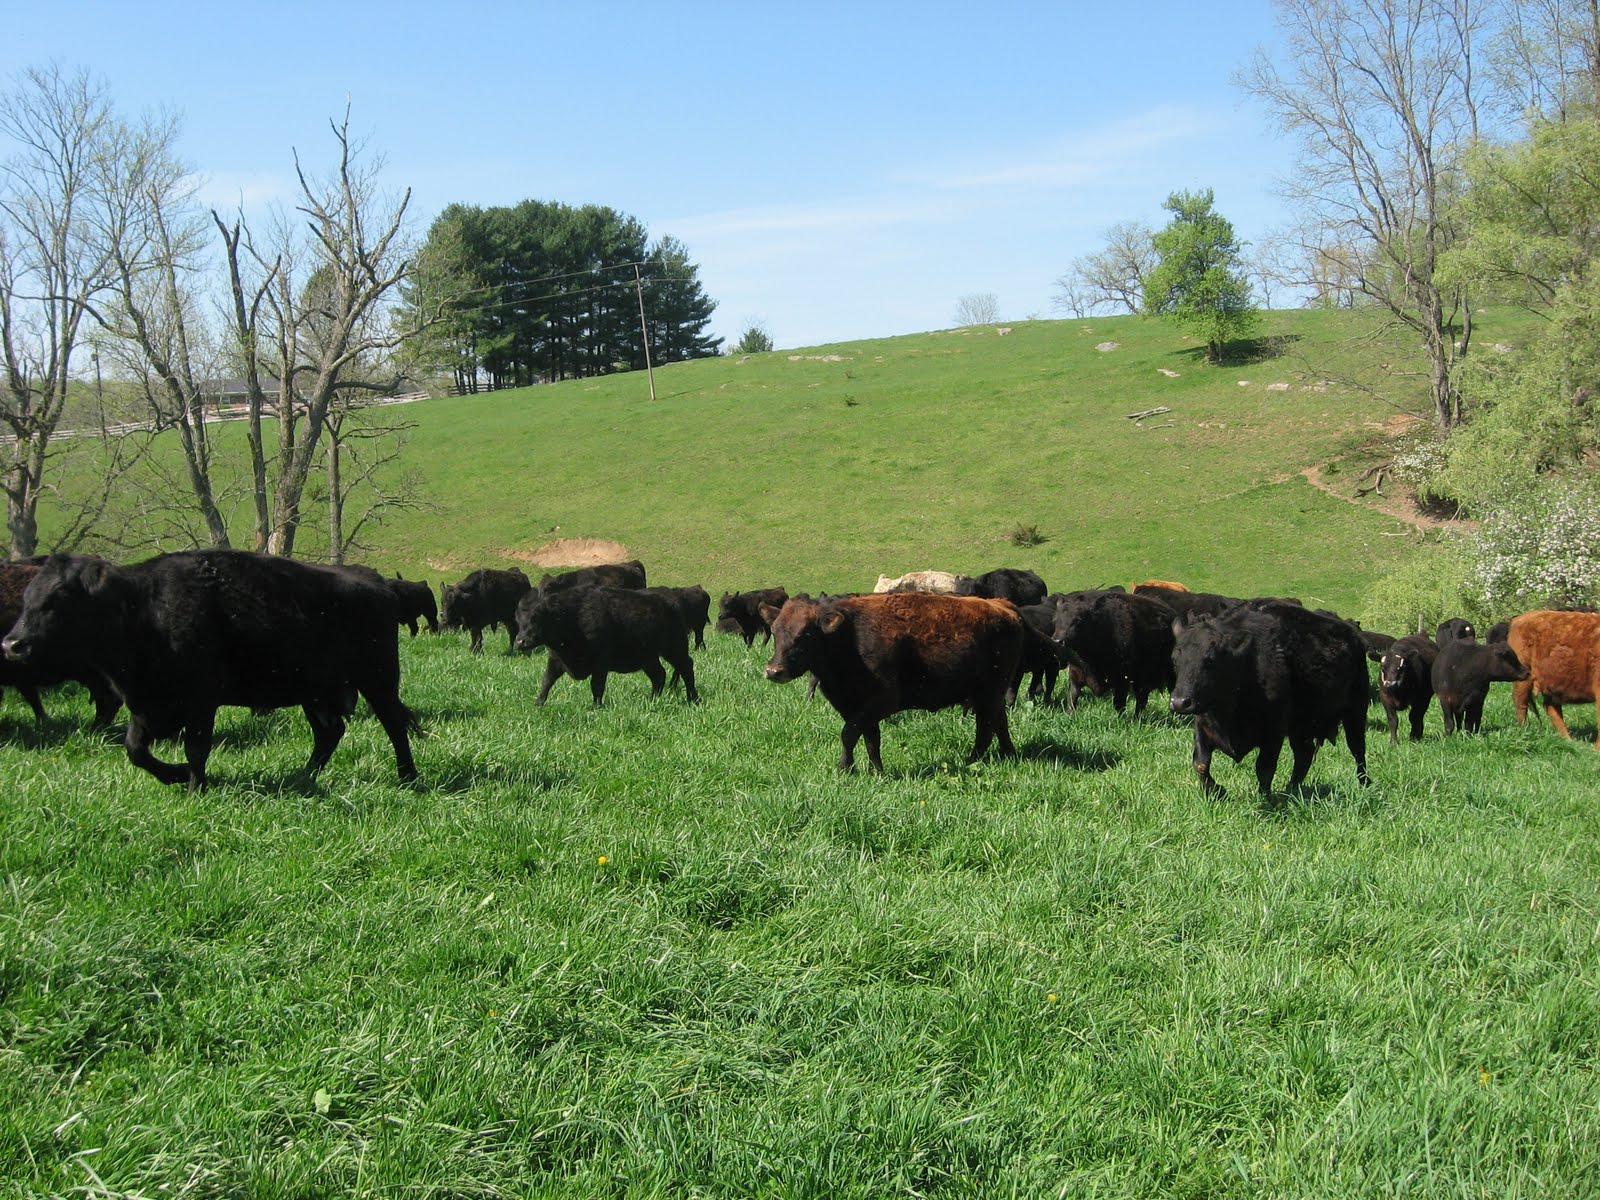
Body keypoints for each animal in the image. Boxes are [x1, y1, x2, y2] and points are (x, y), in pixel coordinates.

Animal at [513, 586, 698, 706]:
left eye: (537, 618)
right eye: (518, 620)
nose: (519, 642)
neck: (572, 616)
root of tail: (673, 600)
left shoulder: (600, 664)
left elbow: (597, 686)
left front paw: (596, 707)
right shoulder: (555, 660)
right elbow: (547, 681)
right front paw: (538, 703)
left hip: (674, 649)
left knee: (686, 667)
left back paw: (693, 699)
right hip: (648, 658)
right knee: (659, 675)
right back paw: (652, 700)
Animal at [761, 592, 1023, 772]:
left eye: (806, 633)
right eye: (775, 630)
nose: (774, 670)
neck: (849, 637)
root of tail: (1003, 606)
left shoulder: (884, 700)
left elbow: (849, 733)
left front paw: (845, 769)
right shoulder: (854, 705)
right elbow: (869, 738)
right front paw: (876, 771)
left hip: (988, 695)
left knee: (985, 729)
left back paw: (971, 761)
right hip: (990, 696)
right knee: (1000, 722)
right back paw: (1009, 754)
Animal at [1169, 602, 1370, 798]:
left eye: (1210, 660)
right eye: (1174, 659)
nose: (1180, 702)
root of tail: (1352, 635)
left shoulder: (1274, 733)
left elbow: (1265, 769)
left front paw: (1265, 799)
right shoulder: (1203, 725)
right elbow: (1201, 763)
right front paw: (1217, 792)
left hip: (1356, 714)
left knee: (1358, 751)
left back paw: (1364, 785)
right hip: (1301, 729)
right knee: (1304, 755)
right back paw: (1291, 790)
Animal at [1507, 610, 1600, 747]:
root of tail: (1520, 618)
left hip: (1552, 683)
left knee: (1550, 707)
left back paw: (1567, 739)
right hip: (1523, 677)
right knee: (1521, 702)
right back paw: (1524, 730)